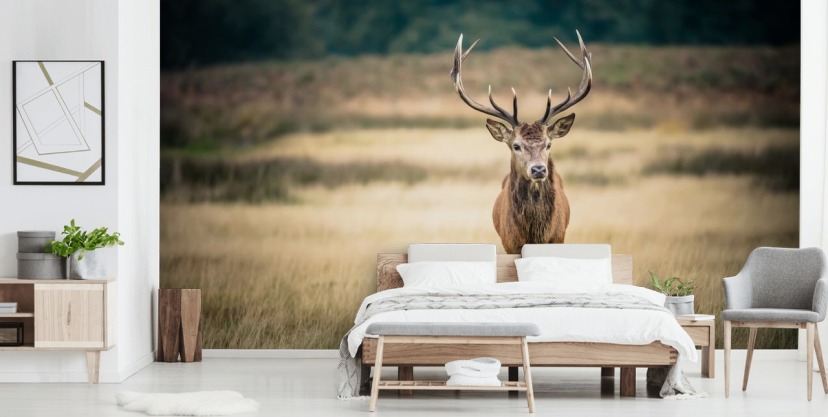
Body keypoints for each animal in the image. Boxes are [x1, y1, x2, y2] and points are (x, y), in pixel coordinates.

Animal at [450, 31, 593, 254]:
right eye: (516, 146)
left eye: (549, 144)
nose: (539, 169)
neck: (535, 235)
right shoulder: (509, 243)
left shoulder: (559, 237)